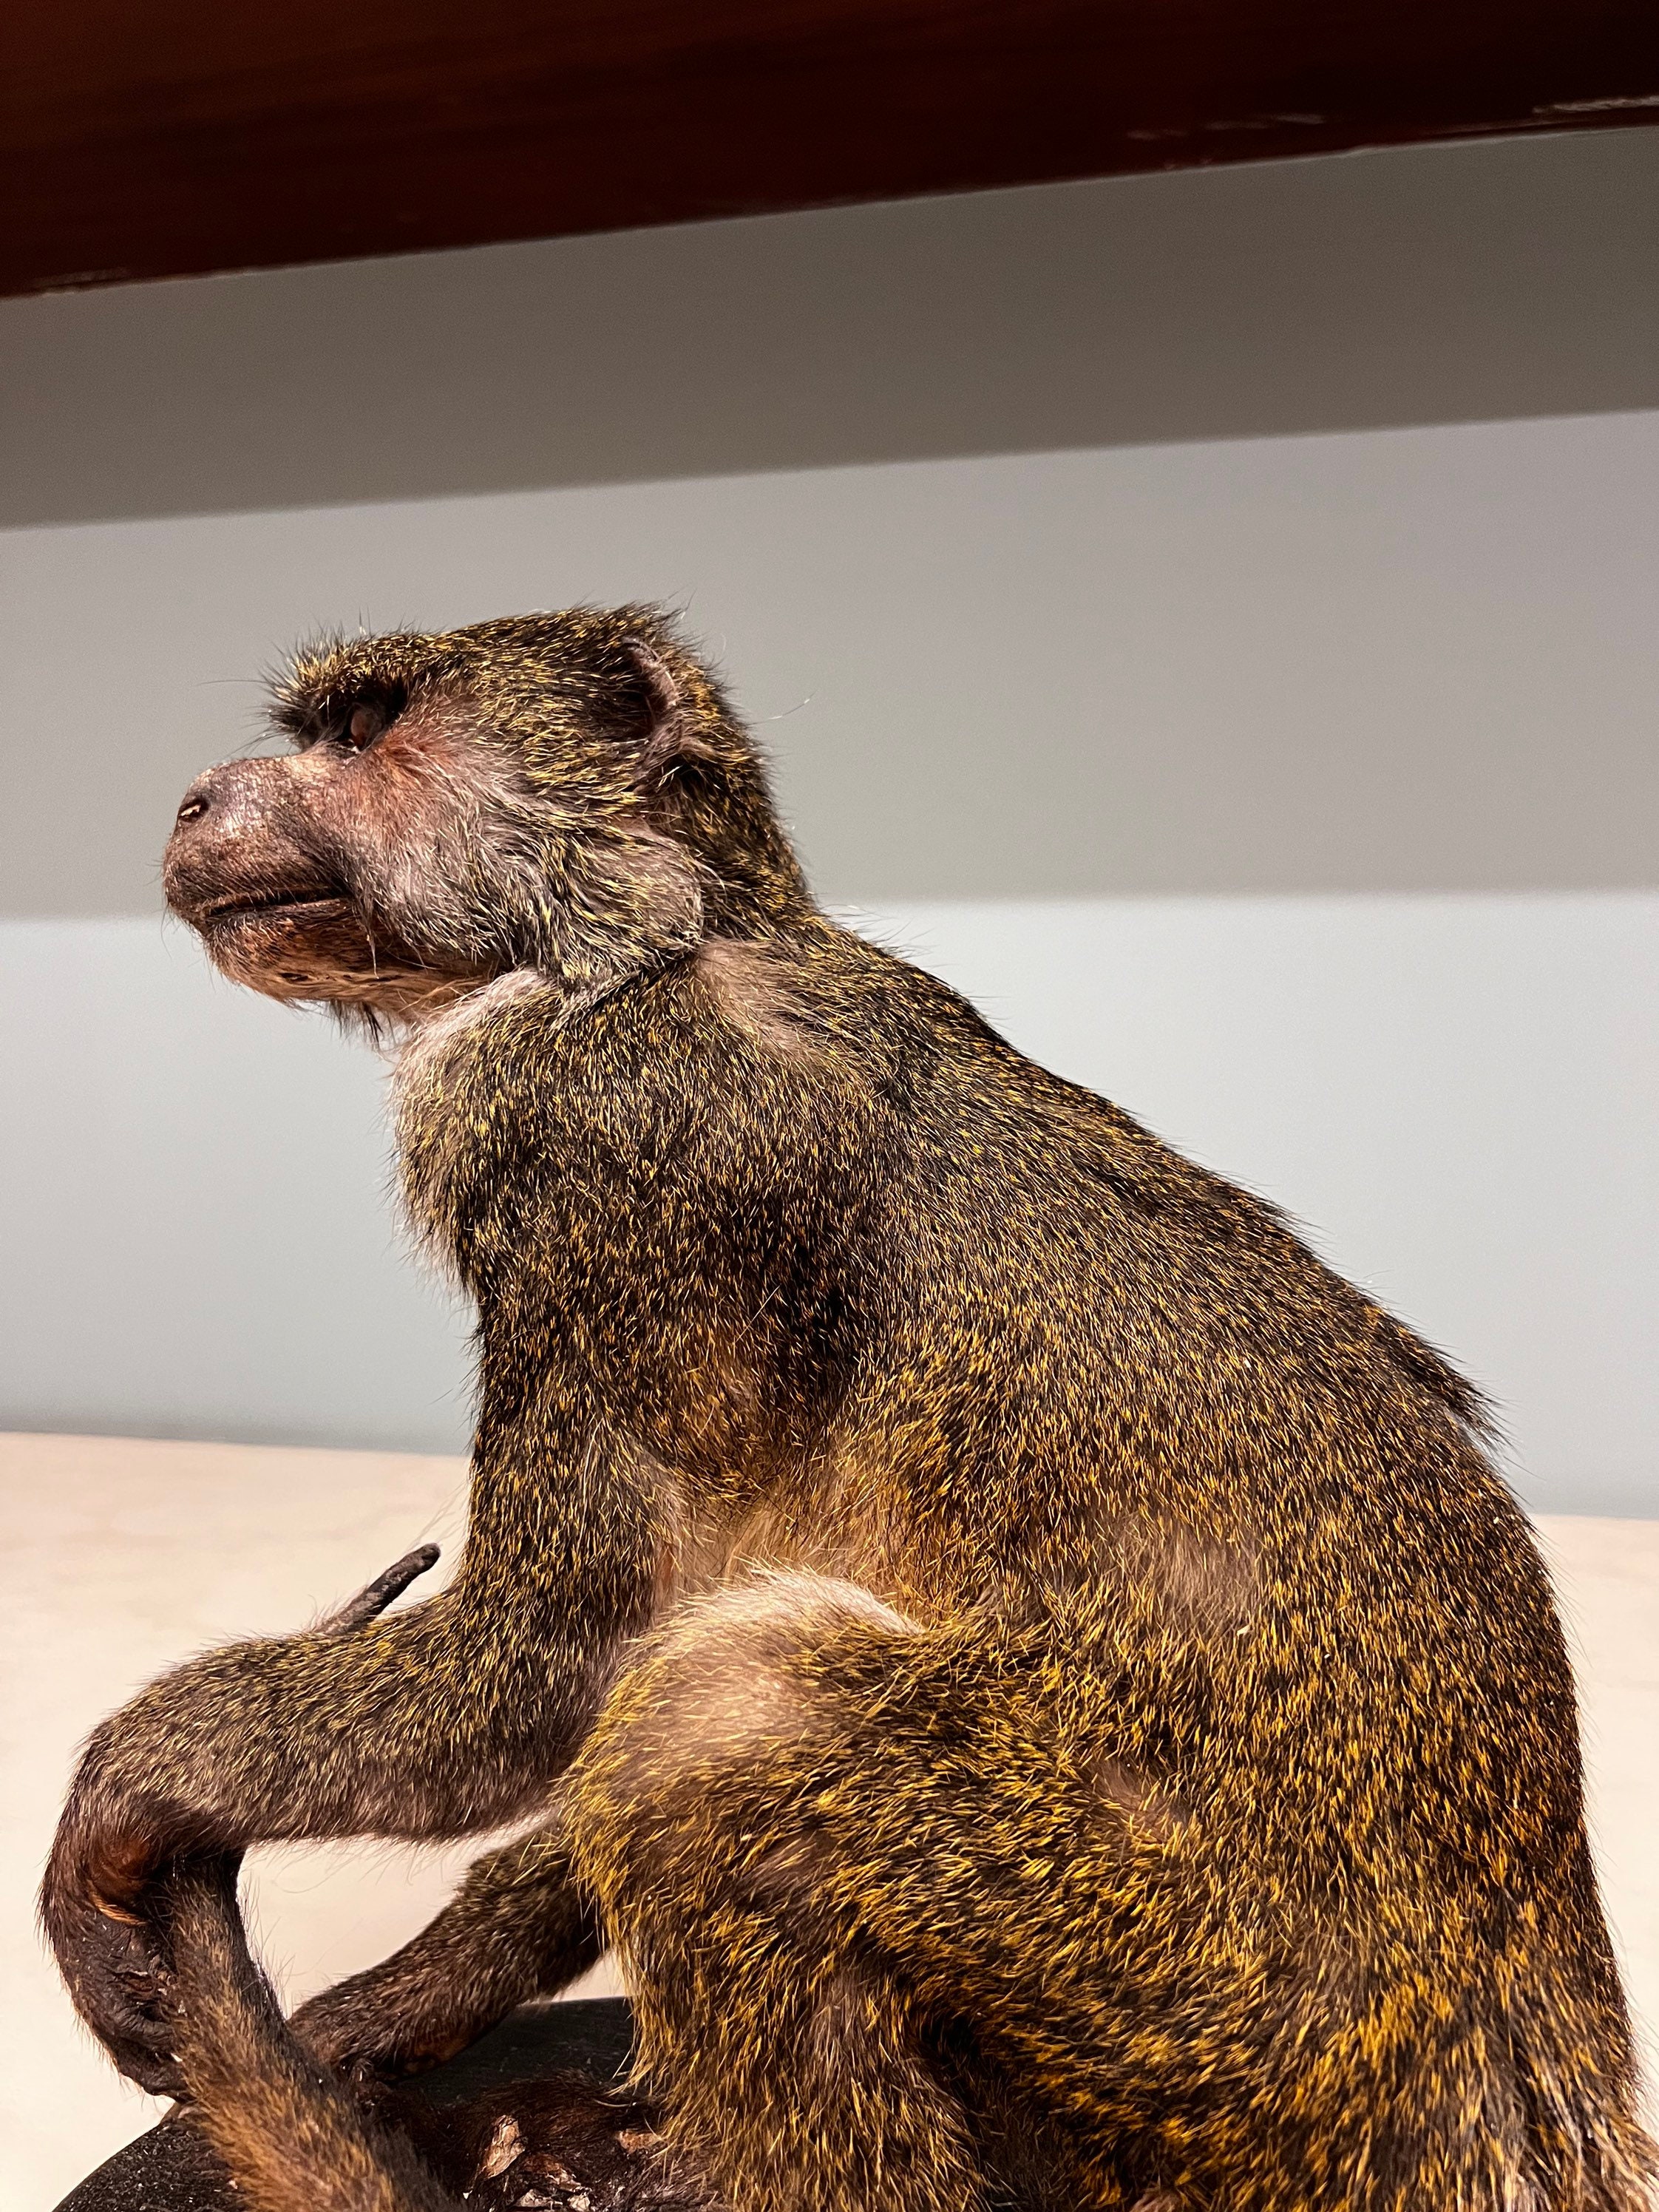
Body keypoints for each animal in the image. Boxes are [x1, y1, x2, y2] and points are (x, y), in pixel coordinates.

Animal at [43, 603, 1657, 2212]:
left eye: (366, 731)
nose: (197, 799)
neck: (656, 941)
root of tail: (1522, 2094)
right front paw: (396, 2008)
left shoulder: (586, 1133)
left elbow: (559, 1657)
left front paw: (133, 1793)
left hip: (1239, 2036)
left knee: (719, 1716)